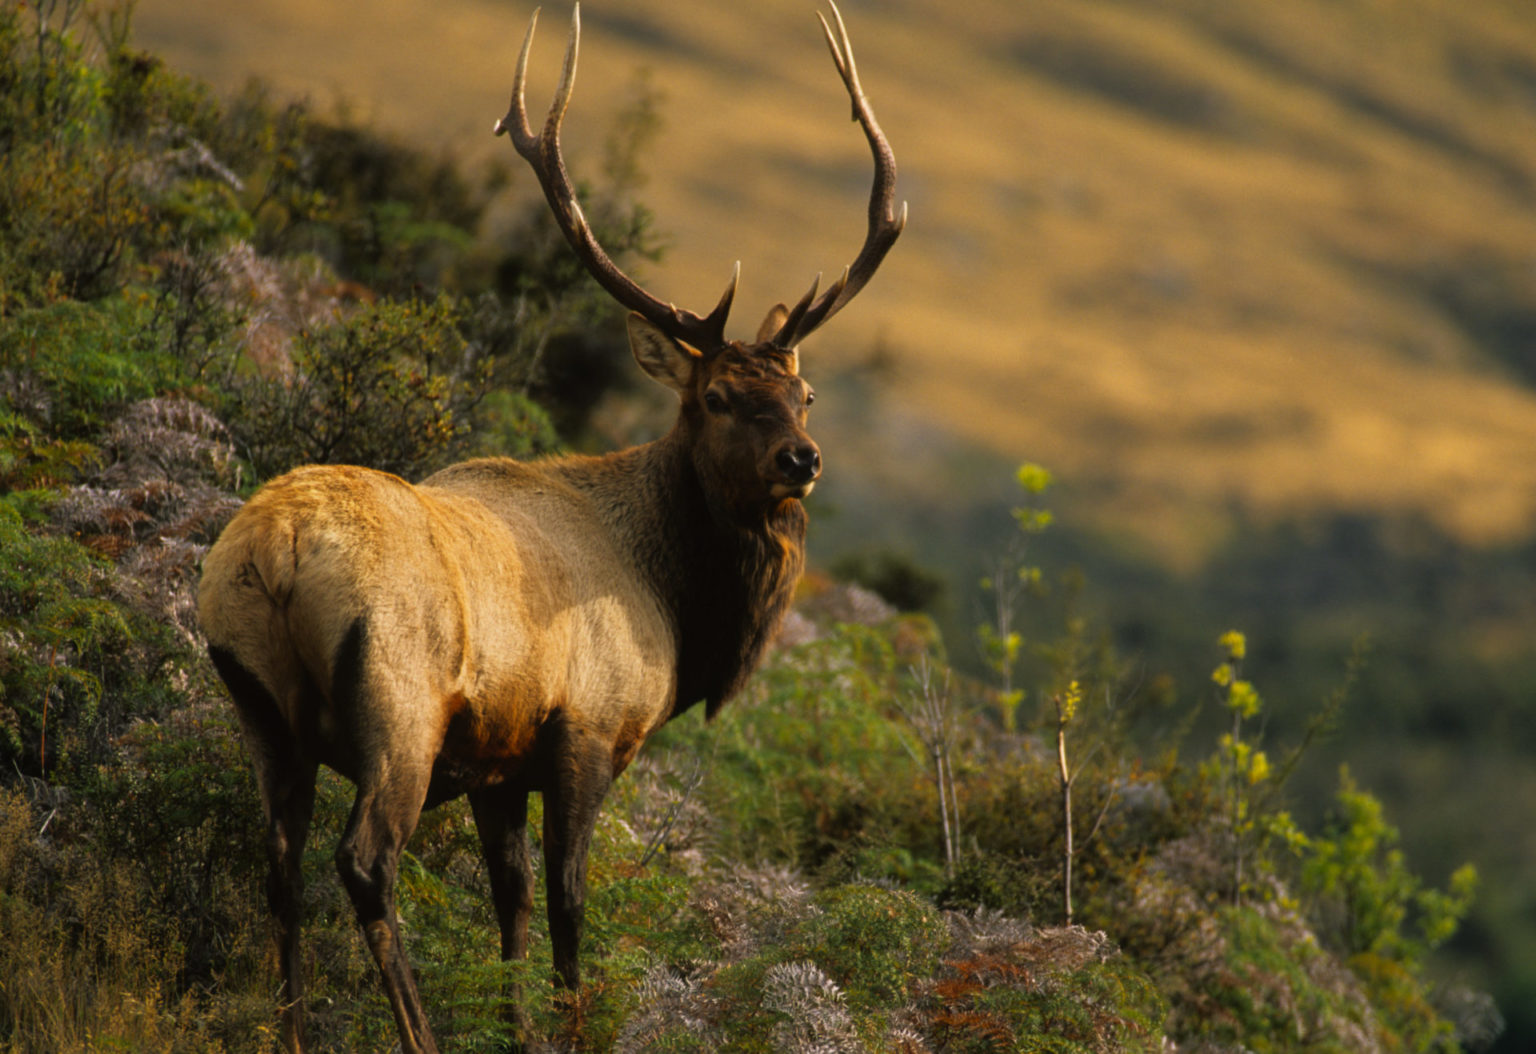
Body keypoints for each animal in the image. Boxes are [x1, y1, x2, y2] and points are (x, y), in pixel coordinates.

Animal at [196, 3, 903, 1052]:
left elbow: (513, 907)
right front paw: (566, 1027)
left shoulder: (499, 764)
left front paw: (518, 1027)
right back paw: (416, 1032)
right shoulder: (587, 732)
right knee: (363, 860)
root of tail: (272, 555)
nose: (801, 461)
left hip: (259, 705)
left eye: (804, 393)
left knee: (277, 862)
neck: (678, 607)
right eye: (719, 396)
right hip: (398, 703)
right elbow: (570, 910)